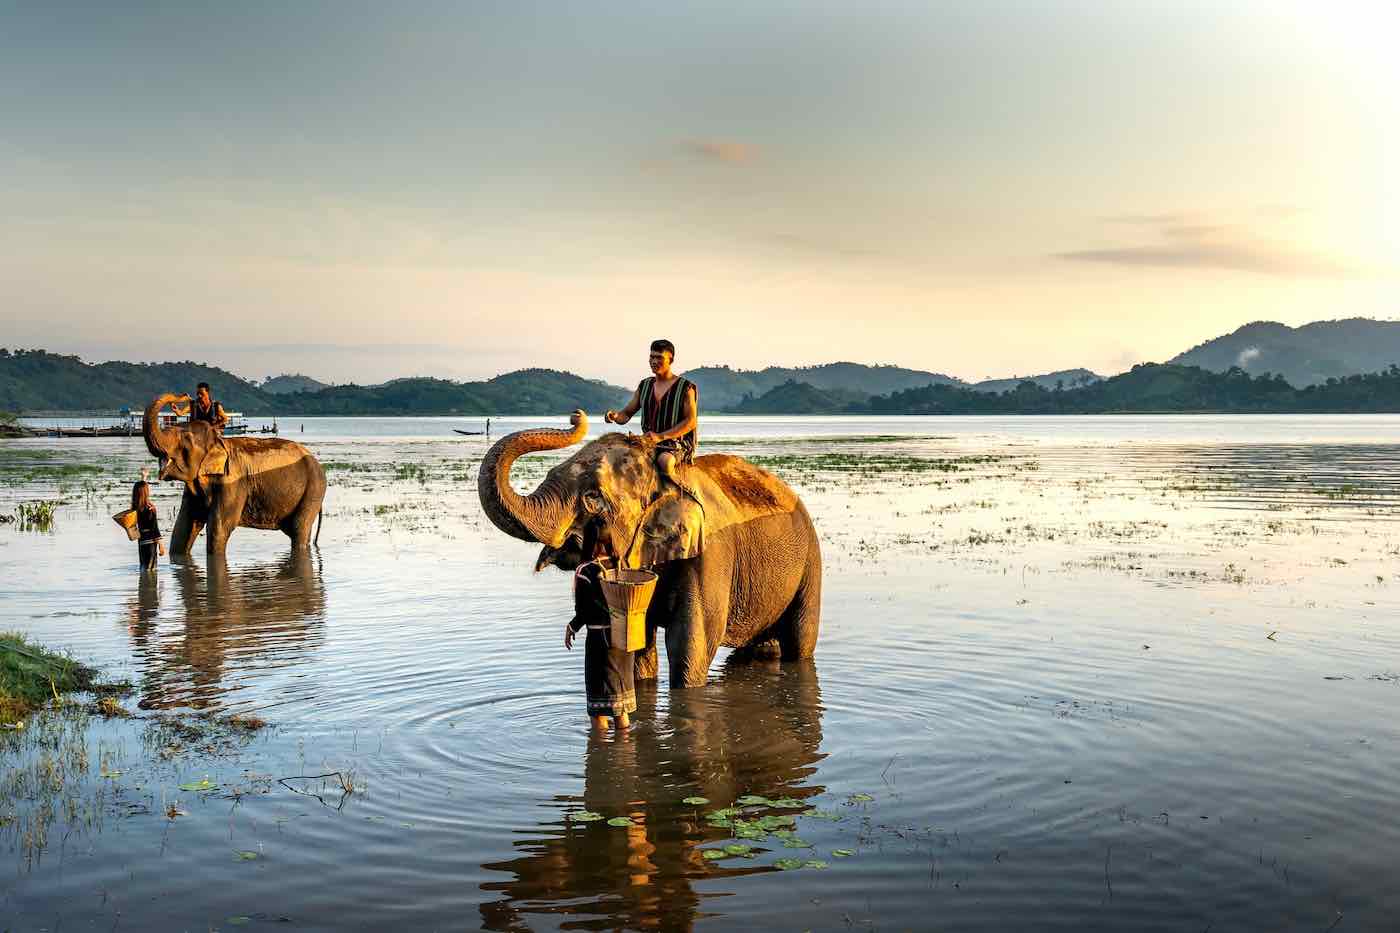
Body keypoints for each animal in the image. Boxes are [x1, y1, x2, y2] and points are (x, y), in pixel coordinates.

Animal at [142, 393, 327, 556]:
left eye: (185, 440)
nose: (184, 395)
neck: (218, 442)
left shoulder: (233, 483)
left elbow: (220, 527)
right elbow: (184, 526)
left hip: (314, 489)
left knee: (299, 530)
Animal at [478, 412, 822, 688]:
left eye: (593, 497)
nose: (576, 416)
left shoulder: (710, 555)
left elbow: (690, 647)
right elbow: (637, 642)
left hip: (810, 562)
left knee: (800, 642)